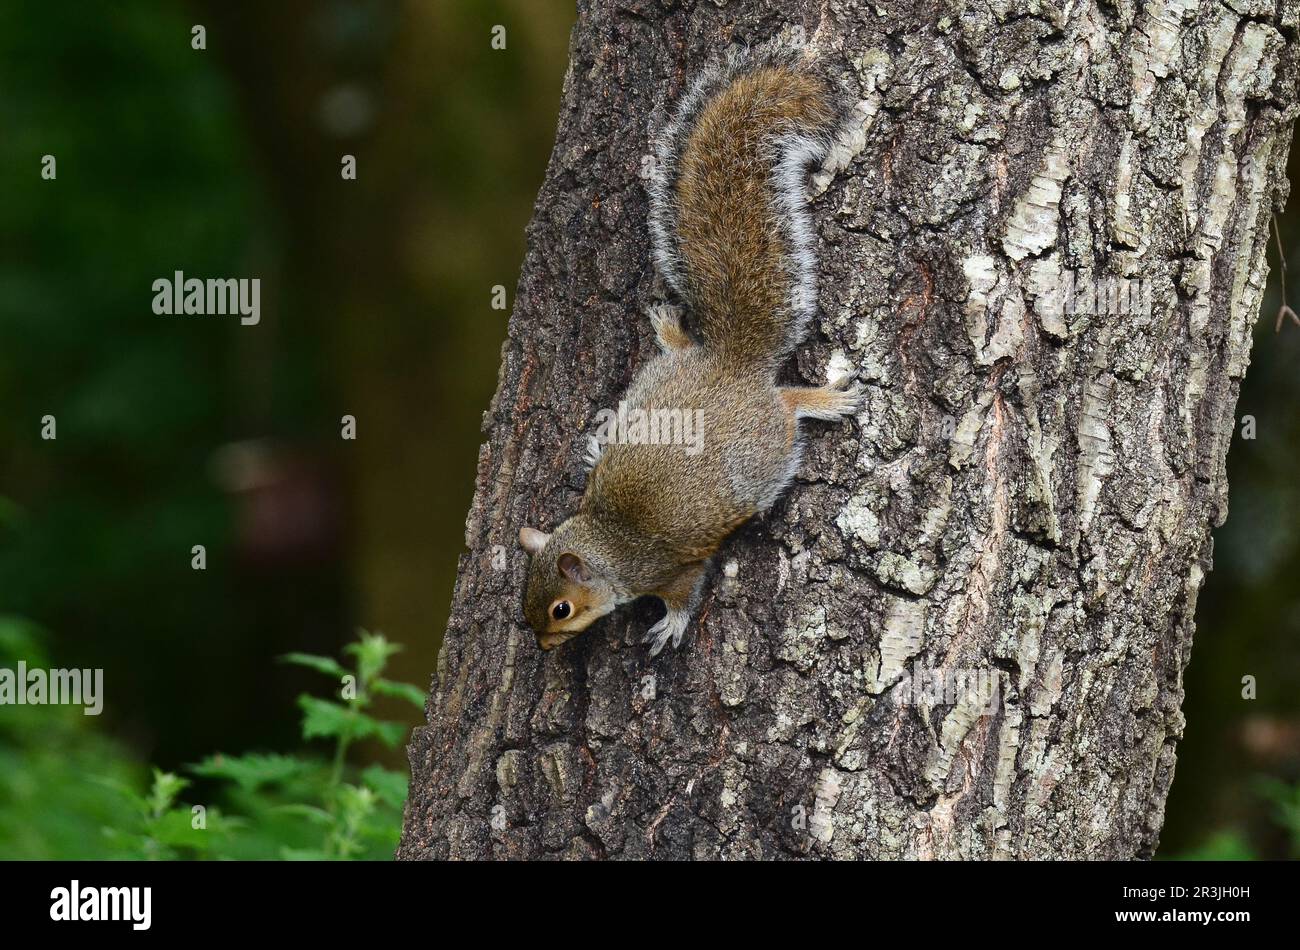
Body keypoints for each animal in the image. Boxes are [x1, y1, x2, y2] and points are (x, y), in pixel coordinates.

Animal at [519, 46, 861, 655]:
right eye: (525, 603)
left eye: (561, 609)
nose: (544, 646)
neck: (606, 538)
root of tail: (732, 365)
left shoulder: (670, 569)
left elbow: (684, 592)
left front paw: (671, 625)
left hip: (765, 447)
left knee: (788, 405)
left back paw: (823, 401)